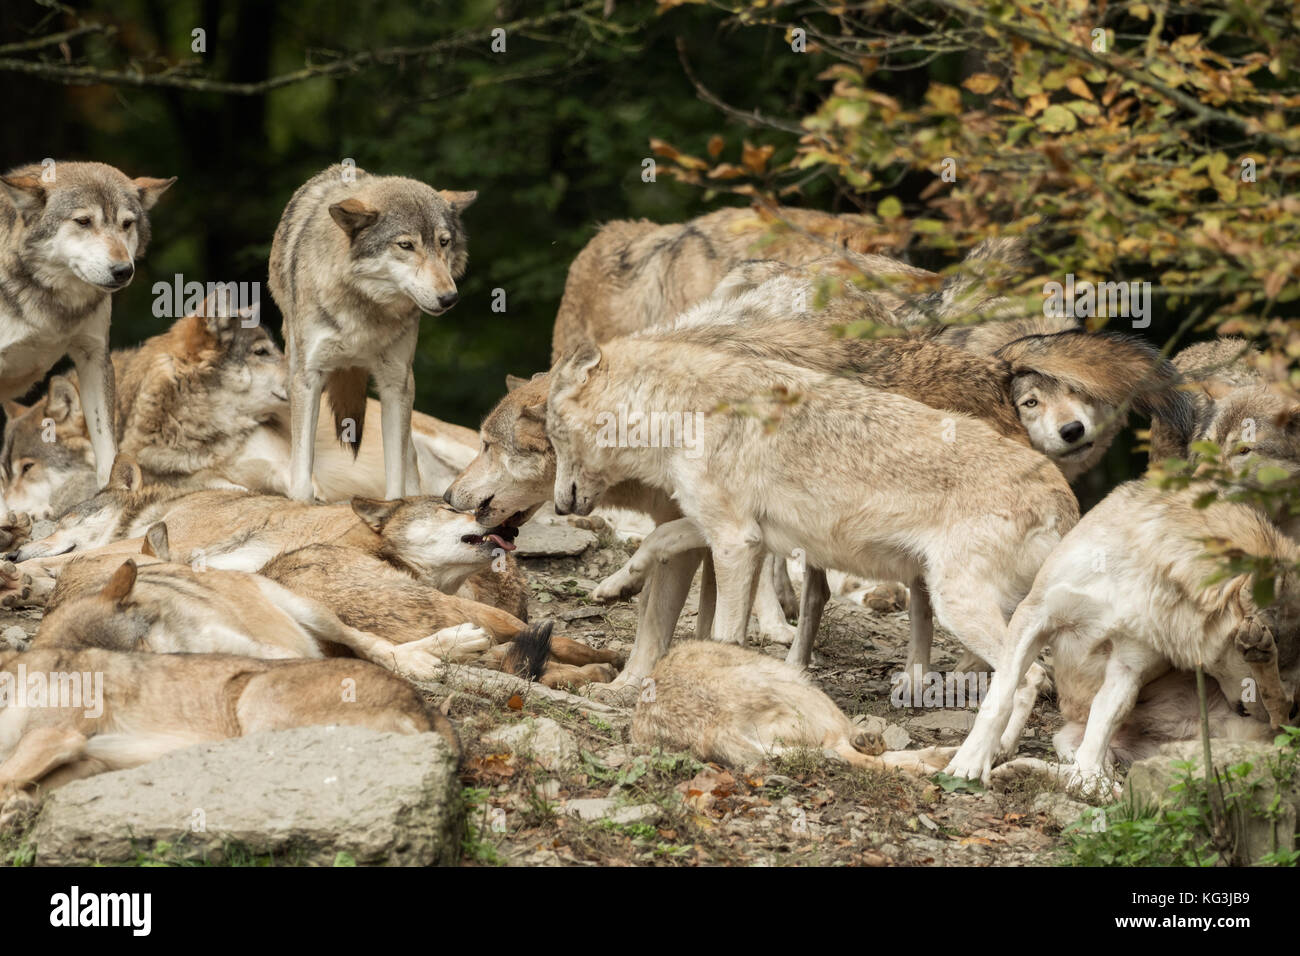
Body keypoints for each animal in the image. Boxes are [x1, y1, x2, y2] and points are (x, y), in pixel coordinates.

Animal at [269, 164, 477, 502]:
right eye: (406, 245)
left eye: (444, 242)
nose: (449, 298)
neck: (365, 310)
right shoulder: (308, 378)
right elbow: (301, 477)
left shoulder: (395, 382)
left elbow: (396, 476)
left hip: (407, 388)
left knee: (410, 456)